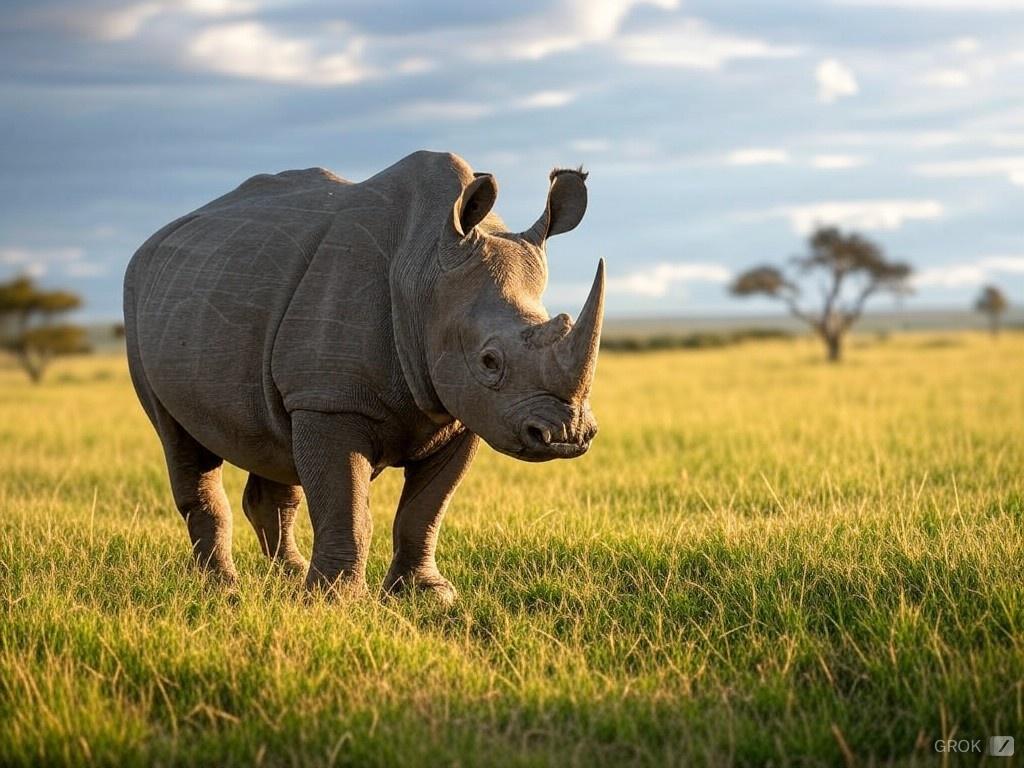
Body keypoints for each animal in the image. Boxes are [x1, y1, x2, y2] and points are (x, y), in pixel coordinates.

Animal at [123, 150, 604, 601]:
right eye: (489, 361)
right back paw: (225, 589)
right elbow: (347, 509)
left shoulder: (463, 413)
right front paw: (332, 602)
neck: (425, 272)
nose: (567, 435)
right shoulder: (328, 400)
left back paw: (288, 578)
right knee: (182, 443)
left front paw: (427, 596)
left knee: (273, 451)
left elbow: (426, 510)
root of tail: (154, 240)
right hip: (139, 298)